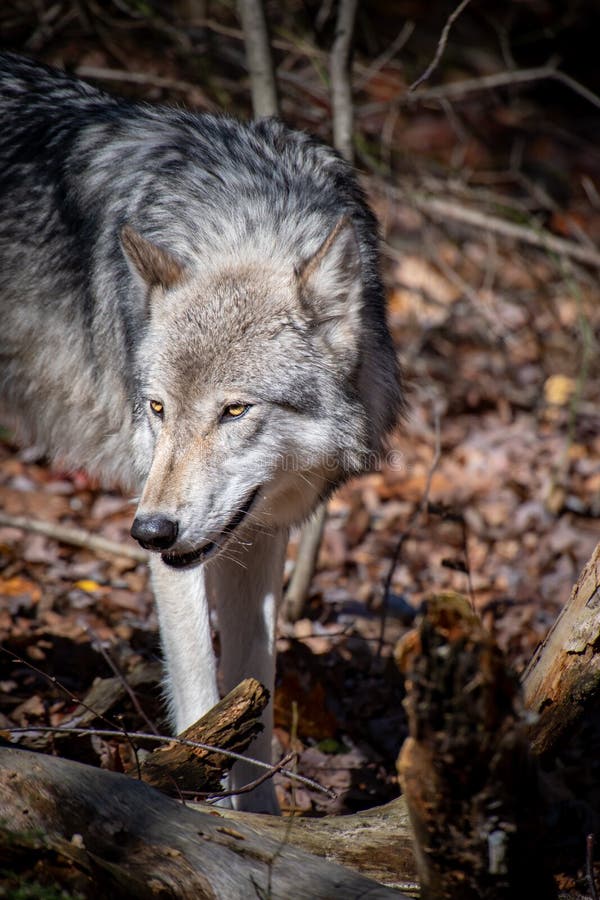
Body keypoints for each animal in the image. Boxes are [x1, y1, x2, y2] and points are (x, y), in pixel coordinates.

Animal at [0, 53, 402, 812]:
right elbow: (198, 695)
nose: (149, 531)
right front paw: (196, 812)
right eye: (158, 409)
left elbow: (257, 697)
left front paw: (265, 823)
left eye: (234, 412)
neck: (244, 219)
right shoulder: (172, 551)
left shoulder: (261, 533)